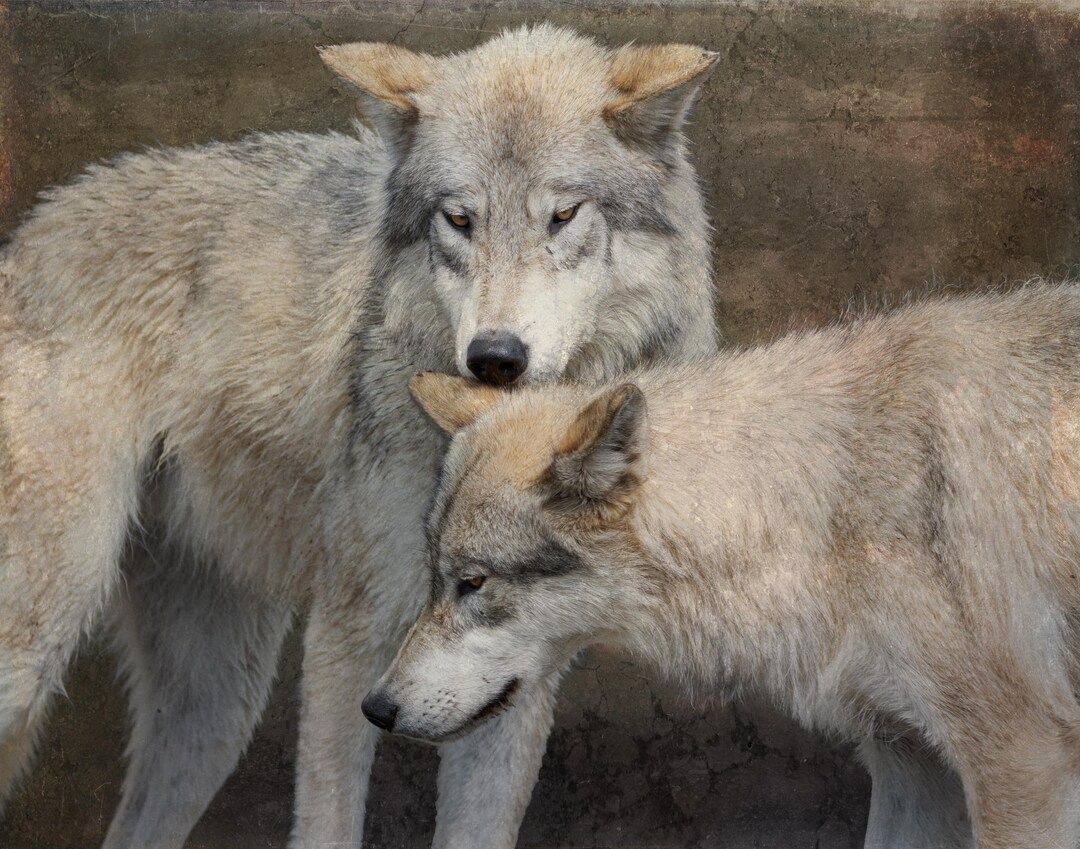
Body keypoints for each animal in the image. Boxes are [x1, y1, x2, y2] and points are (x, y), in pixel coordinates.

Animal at [0, 26, 720, 849]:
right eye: (459, 220)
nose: (494, 357)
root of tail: (32, 229)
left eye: (564, 215)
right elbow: (328, 820)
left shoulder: (509, 675)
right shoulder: (350, 639)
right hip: (36, 655)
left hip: (214, 707)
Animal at [379, 283, 1080, 849]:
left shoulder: (1019, 764)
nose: (375, 708)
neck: (822, 500)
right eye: (437, 578)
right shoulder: (910, 759)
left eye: (473, 583)